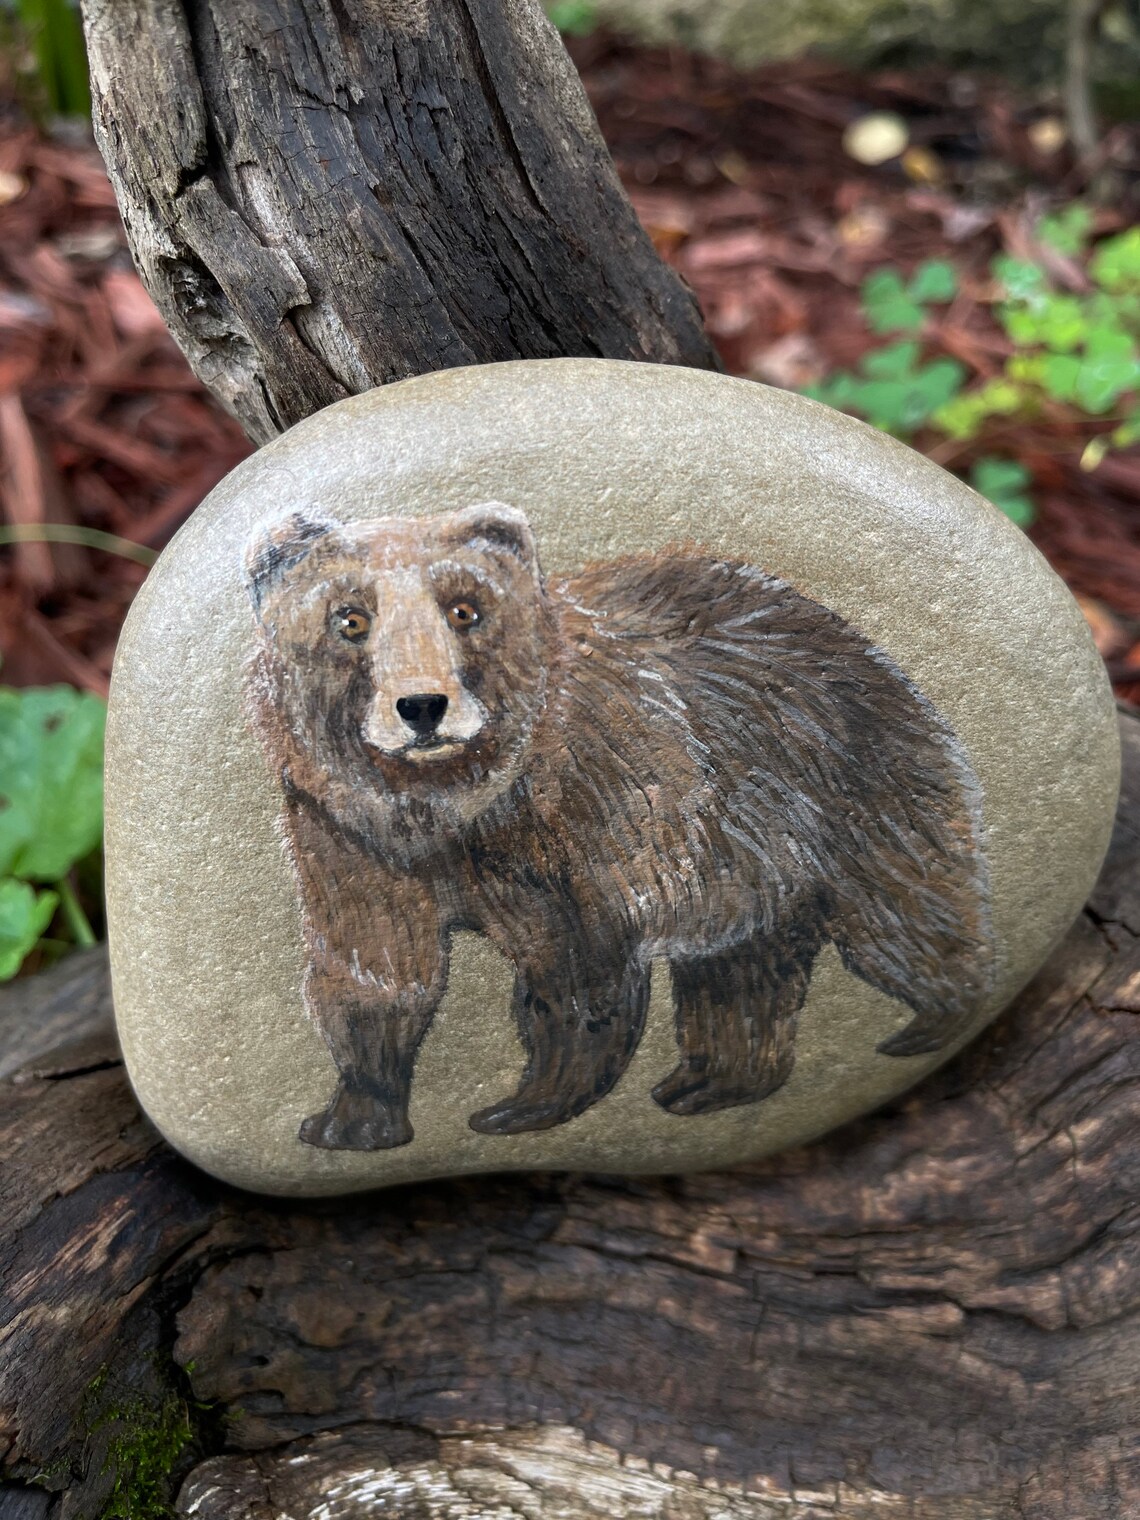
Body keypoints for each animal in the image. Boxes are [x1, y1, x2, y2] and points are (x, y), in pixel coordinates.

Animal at [243, 502, 993, 1152]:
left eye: (464, 609)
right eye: (349, 619)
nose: (422, 705)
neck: (447, 810)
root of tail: (857, 638)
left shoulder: (588, 822)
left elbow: (573, 971)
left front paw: (522, 1104)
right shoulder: (348, 840)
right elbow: (375, 971)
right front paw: (348, 1119)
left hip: (837, 788)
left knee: (899, 911)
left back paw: (931, 1023)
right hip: (746, 867)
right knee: (738, 970)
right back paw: (710, 1084)